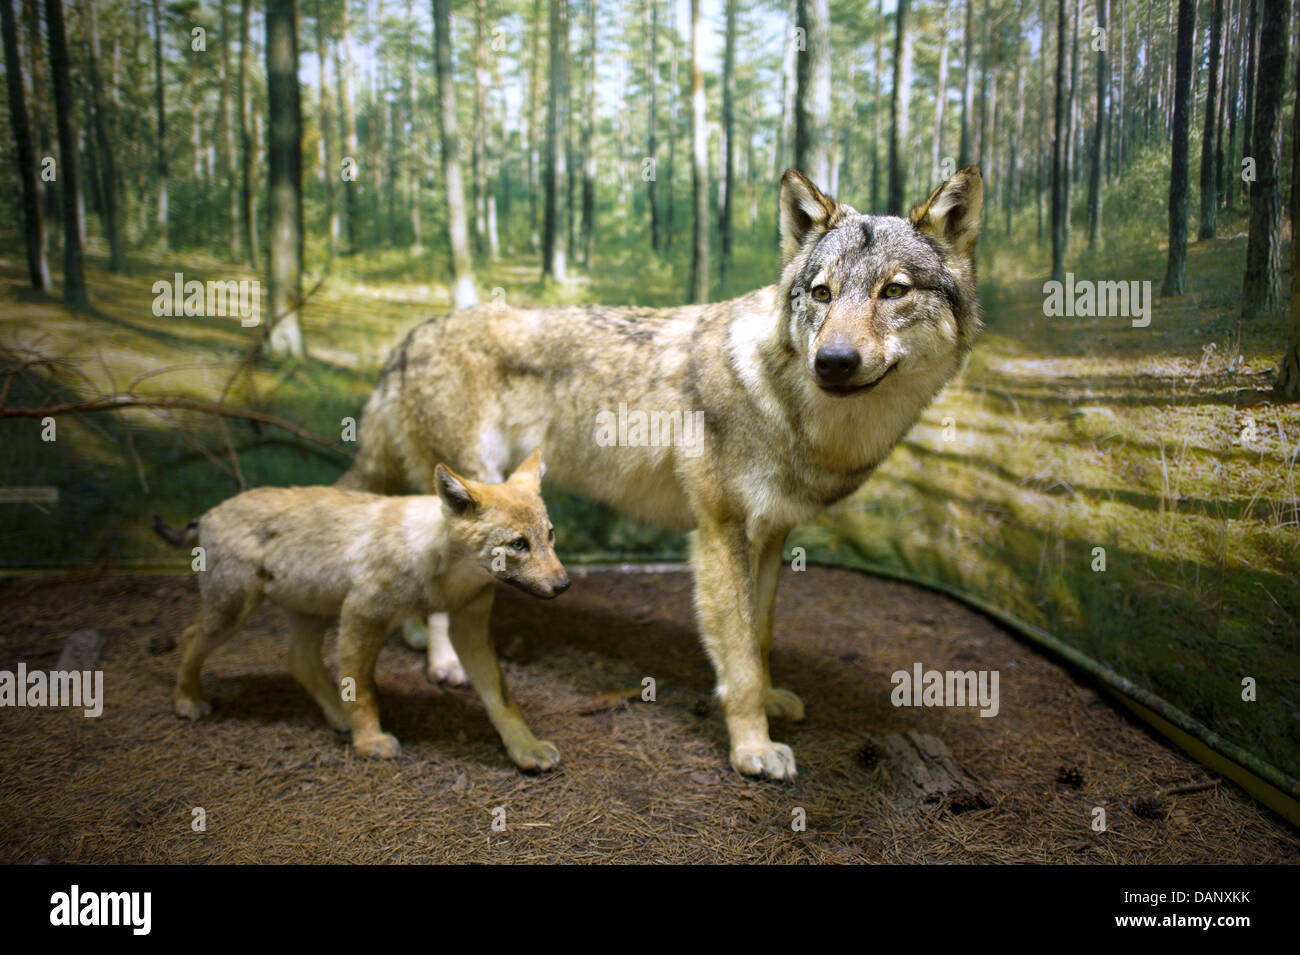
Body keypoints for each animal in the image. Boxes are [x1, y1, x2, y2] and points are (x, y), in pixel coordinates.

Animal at [155, 450, 570, 769]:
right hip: (233, 611)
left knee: (299, 660)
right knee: (191, 637)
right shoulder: (362, 615)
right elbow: (363, 688)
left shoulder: (469, 629)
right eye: (518, 544)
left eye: (549, 536)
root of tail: (209, 512)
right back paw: (186, 701)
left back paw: (338, 717)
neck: (446, 575)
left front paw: (525, 748)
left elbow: (502, 699)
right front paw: (370, 740)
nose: (564, 585)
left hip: (310, 612)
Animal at [337, 167, 983, 778]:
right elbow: (738, 659)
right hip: (476, 485)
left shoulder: (772, 535)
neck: (789, 404)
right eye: (822, 293)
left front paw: (771, 700)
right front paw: (753, 749)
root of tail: (408, 339)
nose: (833, 362)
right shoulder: (720, 534)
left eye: (893, 290)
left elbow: (760, 635)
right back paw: (444, 663)